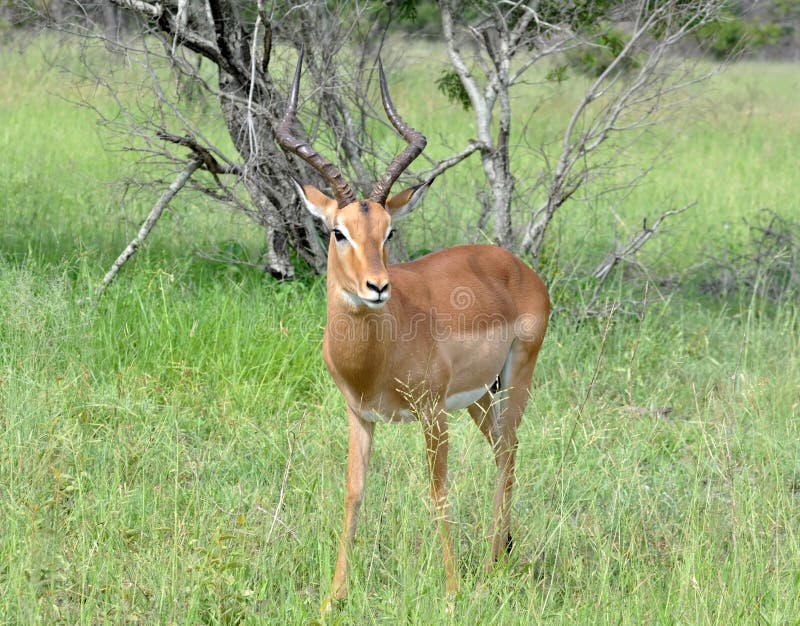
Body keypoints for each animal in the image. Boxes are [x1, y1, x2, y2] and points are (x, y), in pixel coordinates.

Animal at [275, 51, 549, 607]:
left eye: (389, 230)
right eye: (338, 231)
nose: (377, 286)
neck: (376, 355)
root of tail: (515, 264)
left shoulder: (431, 413)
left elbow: (438, 490)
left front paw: (451, 590)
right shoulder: (359, 416)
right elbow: (354, 492)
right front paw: (334, 596)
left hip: (515, 378)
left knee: (510, 452)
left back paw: (490, 565)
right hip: (479, 396)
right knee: (500, 451)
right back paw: (501, 553)